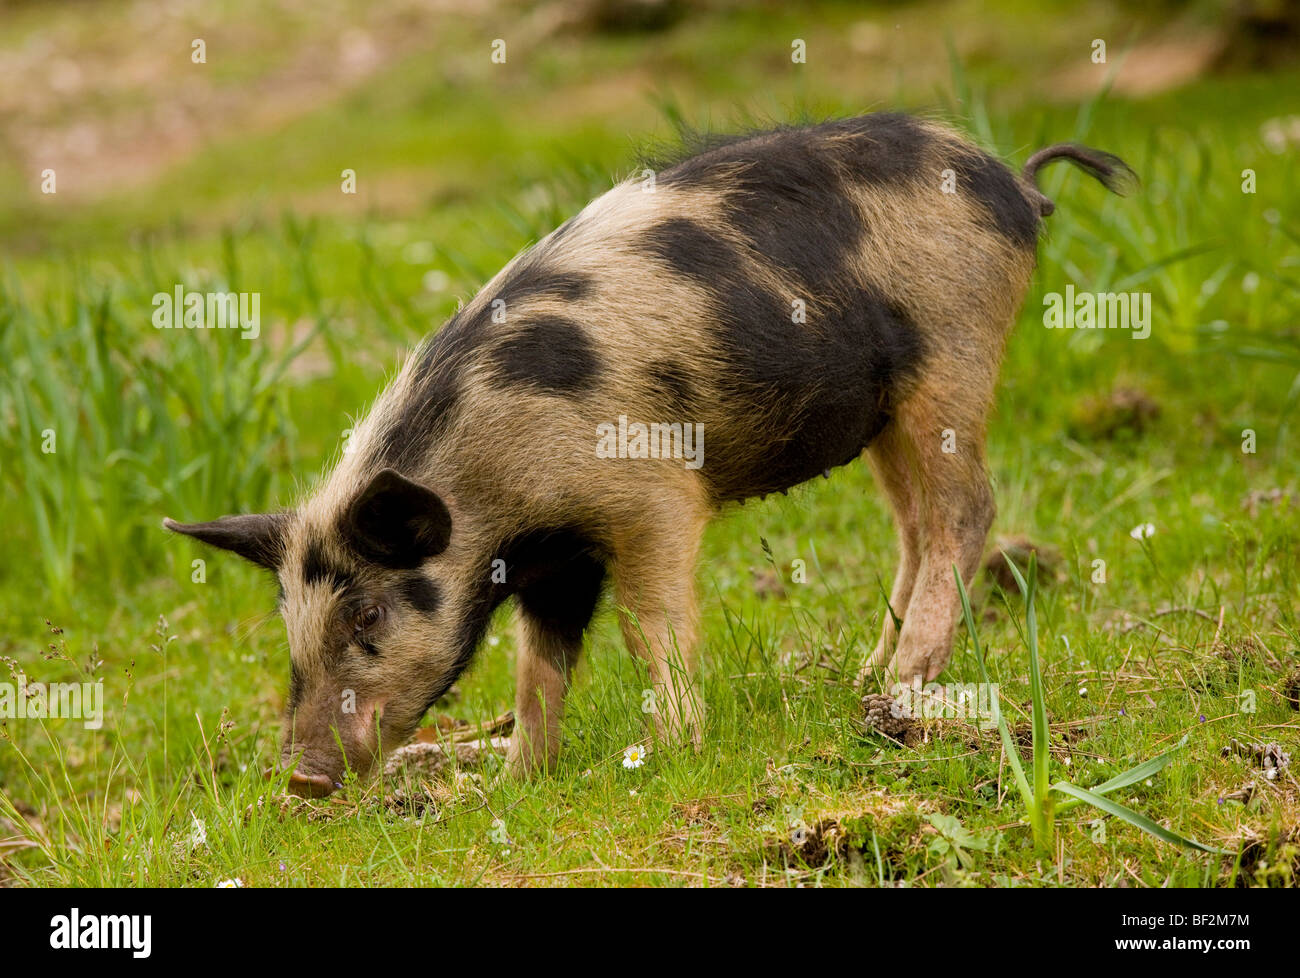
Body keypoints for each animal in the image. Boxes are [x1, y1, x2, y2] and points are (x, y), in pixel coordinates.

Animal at [164, 114, 1135, 796]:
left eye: (367, 614)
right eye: (289, 620)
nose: (302, 776)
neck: (492, 490)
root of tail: (1014, 185)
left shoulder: (650, 498)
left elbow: (647, 626)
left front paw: (668, 750)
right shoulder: (552, 563)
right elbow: (537, 667)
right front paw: (515, 783)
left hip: (954, 355)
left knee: (967, 508)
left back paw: (895, 692)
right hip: (885, 413)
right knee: (915, 525)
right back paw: (861, 676)